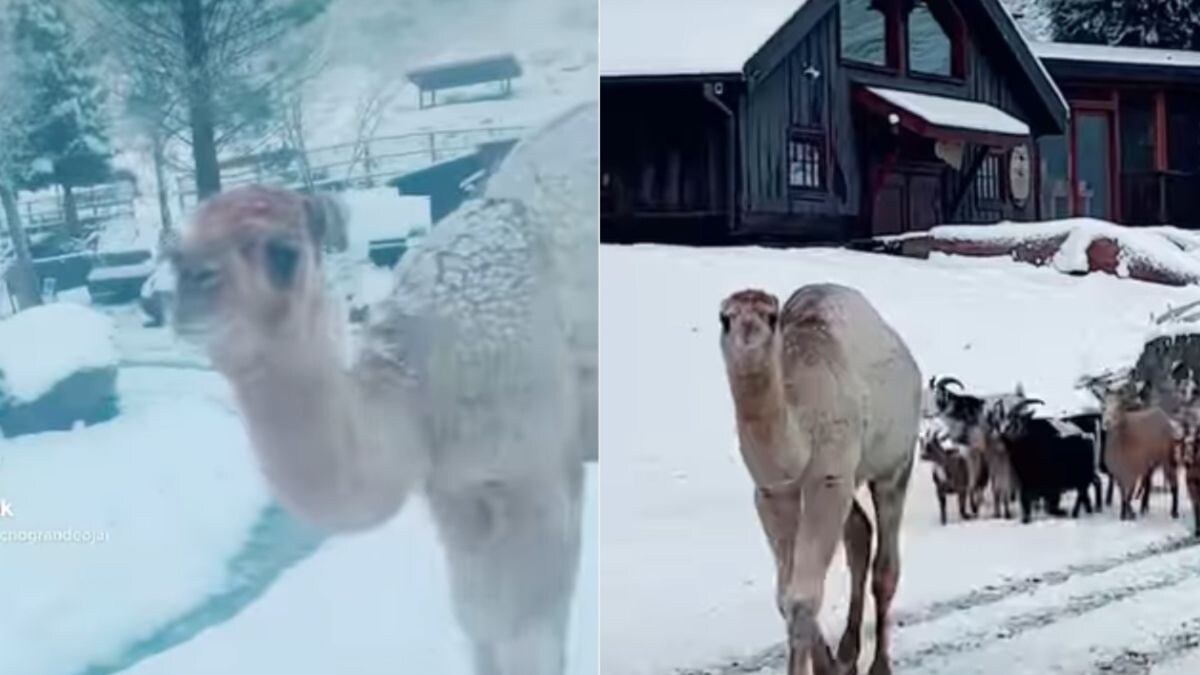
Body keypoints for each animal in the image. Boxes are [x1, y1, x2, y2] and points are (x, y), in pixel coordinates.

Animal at [170, 102, 597, 675]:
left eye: (284, 251)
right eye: (175, 249)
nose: (185, 292)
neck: (419, 388)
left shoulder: (537, 471)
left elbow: (528, 635)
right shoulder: (457, 487)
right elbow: (479, 625)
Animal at [719, 285, 922, 675]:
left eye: (771, 317)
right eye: (725, 318)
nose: (748, 338)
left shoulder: (827, 479)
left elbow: (803, 597)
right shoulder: (772, 492)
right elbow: (786, 595)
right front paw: (829, 664)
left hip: (896, 461)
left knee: (886, 566)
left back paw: (879, 664)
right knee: (859, 532)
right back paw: (847, 653)